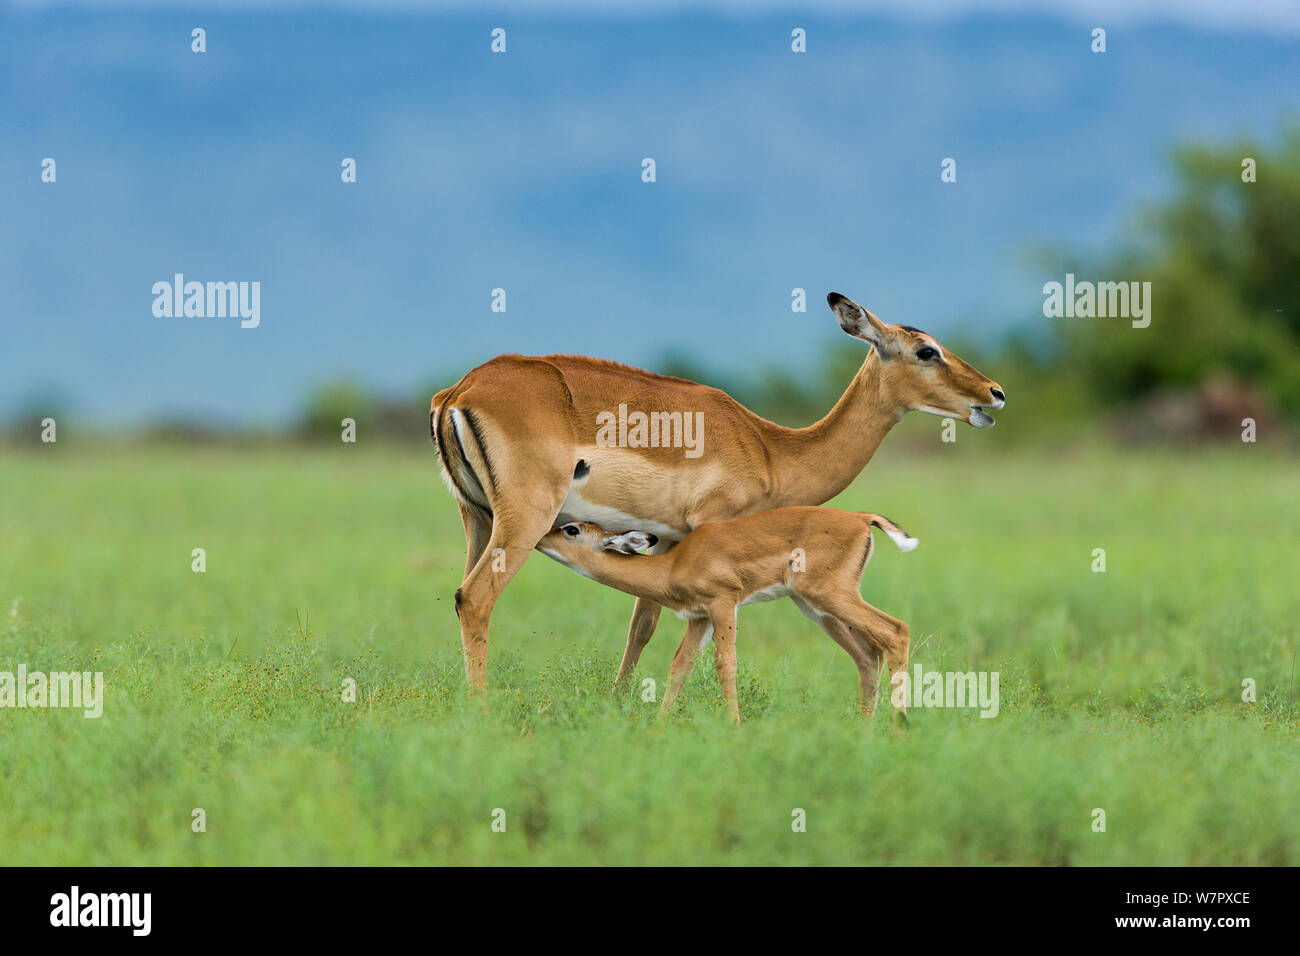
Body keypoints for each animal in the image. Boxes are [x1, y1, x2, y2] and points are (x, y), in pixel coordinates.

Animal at [431, 291, 1004, 694]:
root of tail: (458, 392)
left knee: (461, 597)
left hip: (477, 518)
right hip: (524, 520)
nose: (994, 393)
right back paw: (482, 711)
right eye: (926, 350)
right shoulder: (710, 533)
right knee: (477, 598)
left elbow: (643, 623)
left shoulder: (664, 537)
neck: (771, 450)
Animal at [536, 508, 917, 723]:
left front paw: (734, 726)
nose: (539, 537)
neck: (675, 564)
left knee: (896, 630)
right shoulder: (699, 618)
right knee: (869, 653)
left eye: (573, 529)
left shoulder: (723, 604)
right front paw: (659, 725)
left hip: (831, 596)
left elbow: (725, 664)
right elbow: (679, 667)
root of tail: (862, 519)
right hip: (815, 607)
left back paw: (899, 728)